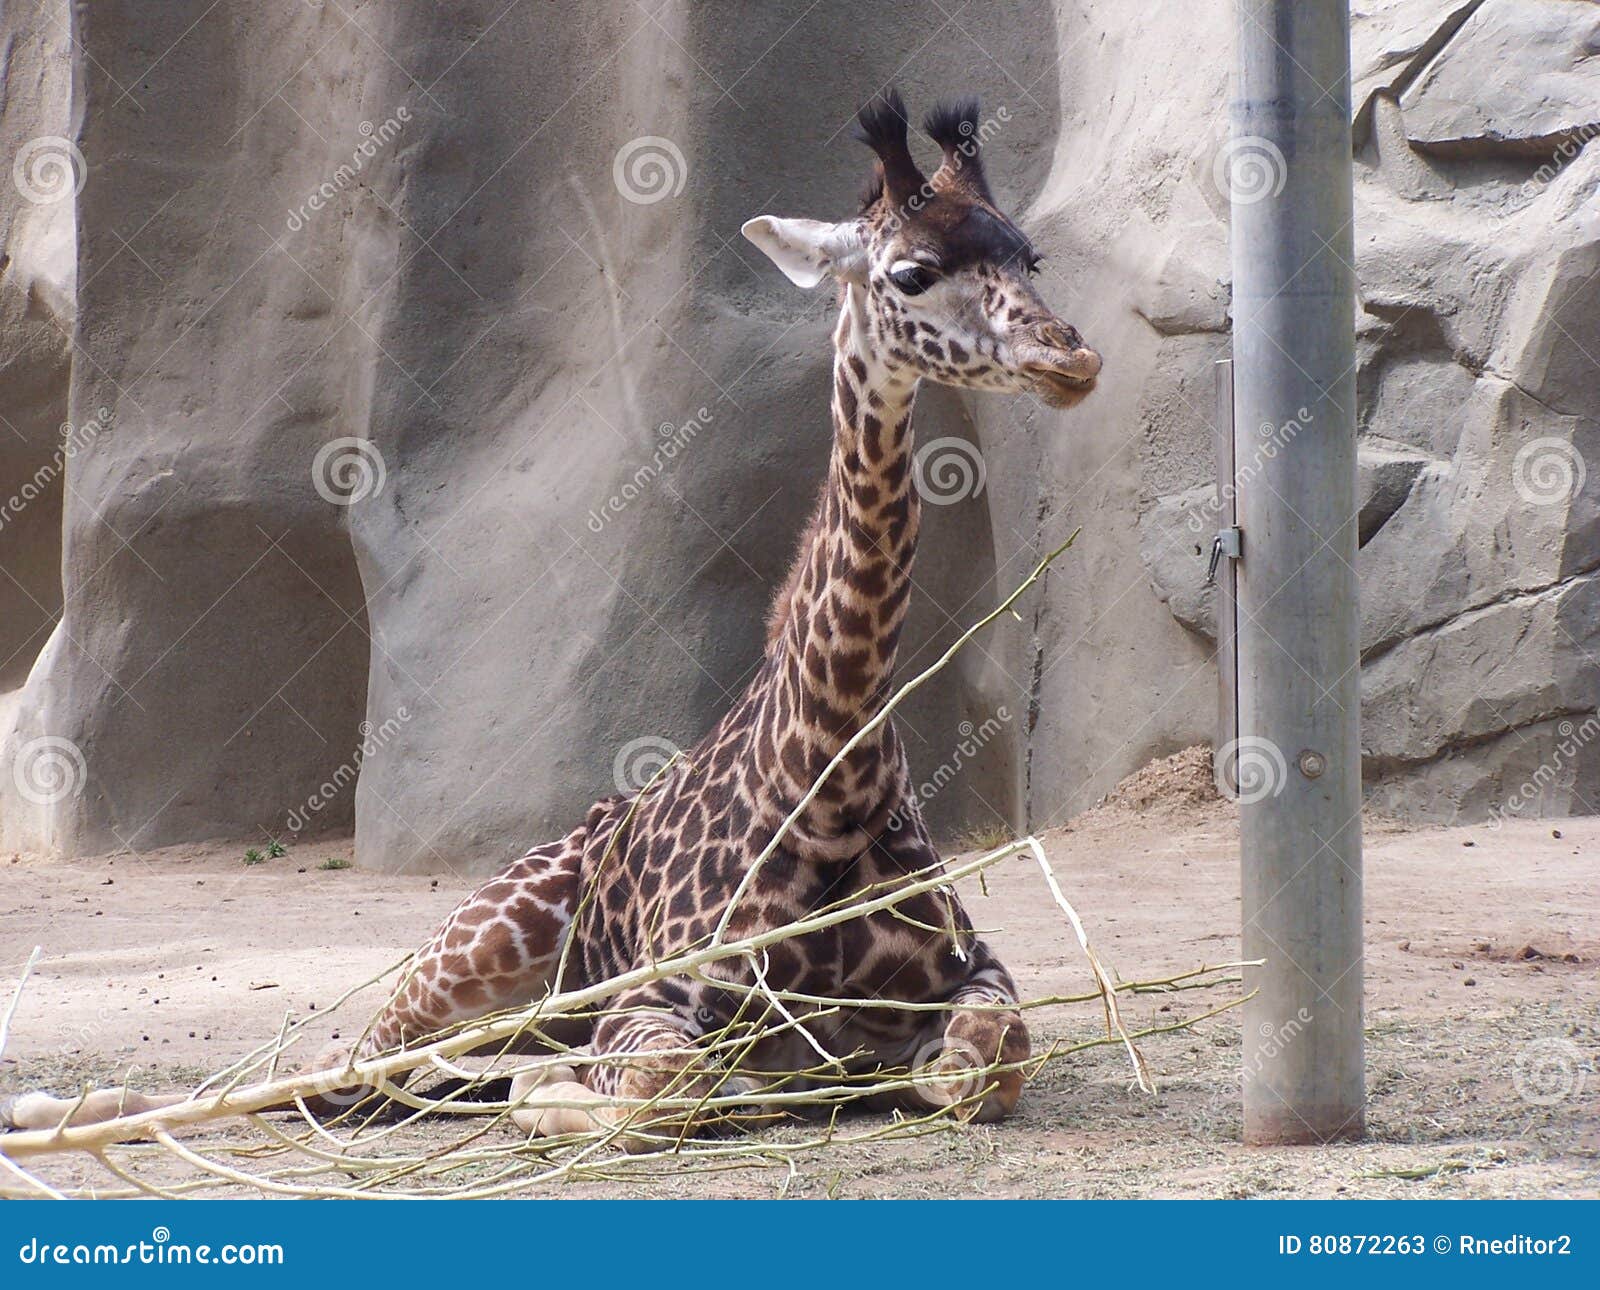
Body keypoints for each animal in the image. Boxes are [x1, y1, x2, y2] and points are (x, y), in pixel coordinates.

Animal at [1, 89, 1100, 1148]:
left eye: (1027, 255)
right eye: (911, 274)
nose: (1071, 359)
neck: (826, 776)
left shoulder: (973, 973)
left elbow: (981, 1067)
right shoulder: (652, 1000)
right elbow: (661, 1086)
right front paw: (599, 1096)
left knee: (394, 1077)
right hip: (477, 947)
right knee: (346, 1071)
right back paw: (59, 1114)